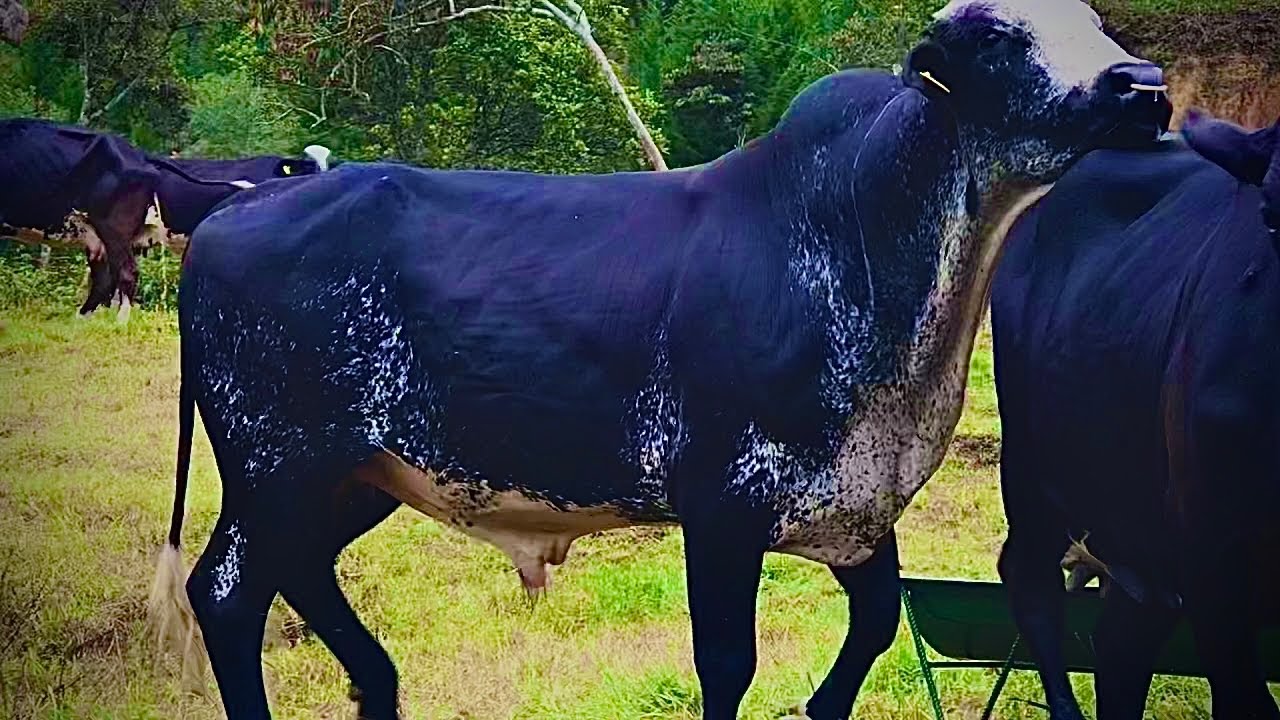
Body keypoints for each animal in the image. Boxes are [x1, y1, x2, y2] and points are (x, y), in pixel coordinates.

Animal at [147, 2, 1171, 718]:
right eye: (998, 36)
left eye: (1090, 18)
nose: (1143, 83)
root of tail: (234, 211)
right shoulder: (721, 506)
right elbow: (727, 663)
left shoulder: (855, 505)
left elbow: (877, 623)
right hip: (278, 464)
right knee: (228, 594)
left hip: (351, 476)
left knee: (294, 574)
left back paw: (382, 687)